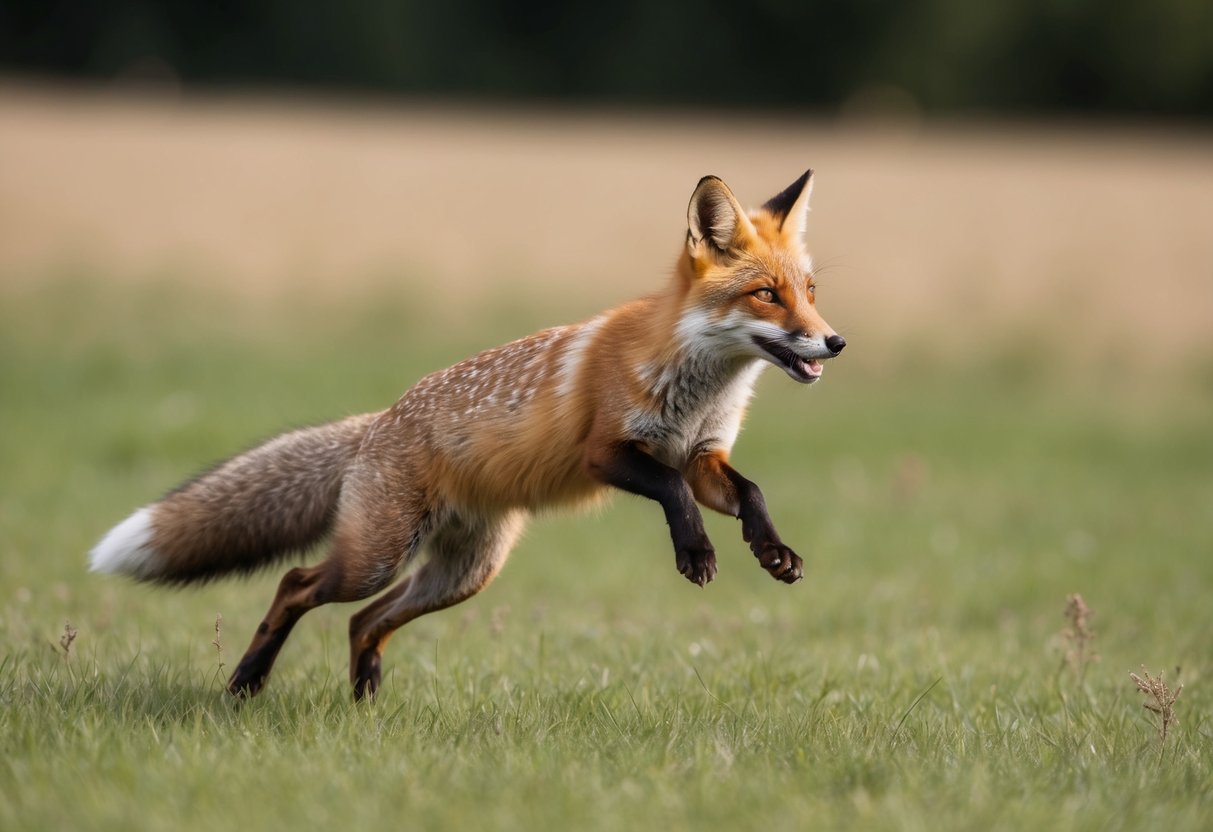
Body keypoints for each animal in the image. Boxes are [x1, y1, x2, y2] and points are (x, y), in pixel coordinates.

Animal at [89, 170, 847, 700]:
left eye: (809, 290)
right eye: (766, 296)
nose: (834, 342)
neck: (699, 389)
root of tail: (381, 419)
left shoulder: (702, 456)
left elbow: (750, 491)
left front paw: (773, 551)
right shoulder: (607, 452)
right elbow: (670, 493)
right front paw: (695, 553)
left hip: (460, 574)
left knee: (364, 623)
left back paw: (364, 701)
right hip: (373, 559)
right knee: (296, 585)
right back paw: (247, 683)